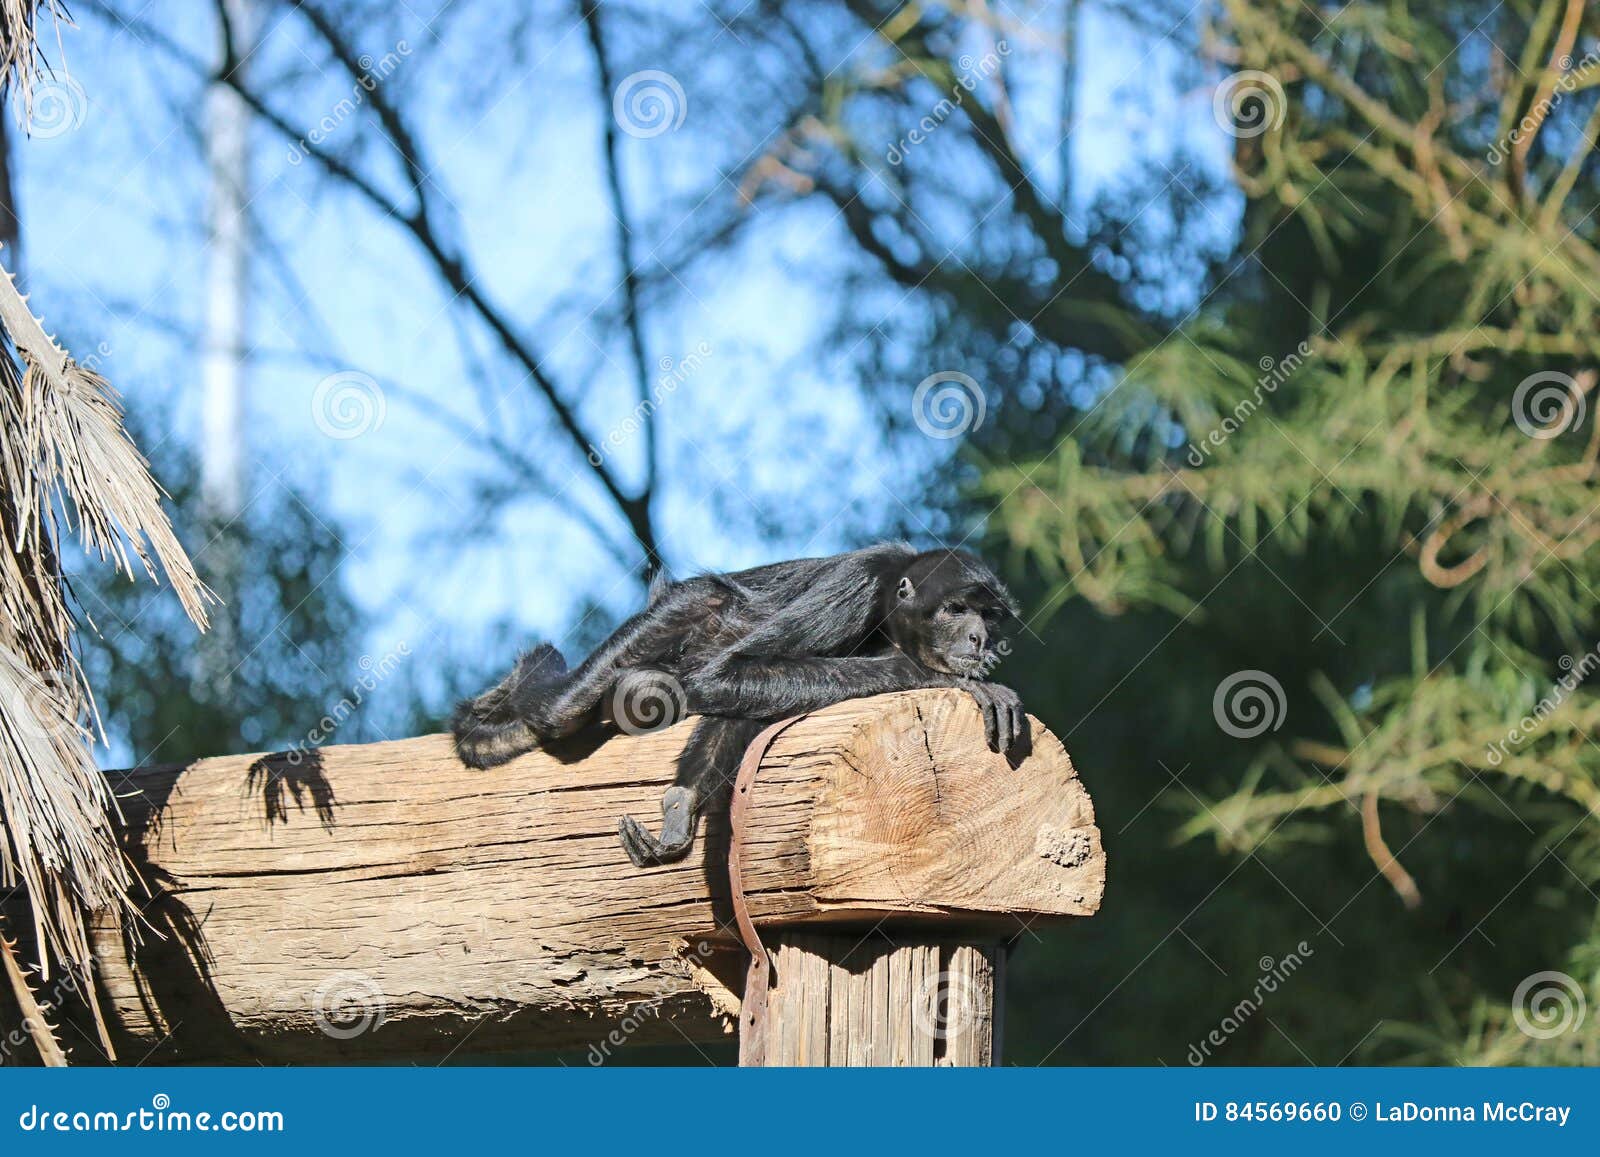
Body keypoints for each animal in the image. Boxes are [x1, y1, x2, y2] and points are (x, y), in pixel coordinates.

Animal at [451, 542, 1028, 867]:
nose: (977, 638)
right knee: (565, 710)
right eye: (956, 610)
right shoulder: (857, 583)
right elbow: (722, 674)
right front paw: (935, 675)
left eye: (985, 615)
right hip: (682, 606)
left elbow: (727, 693)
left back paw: (680, 806)